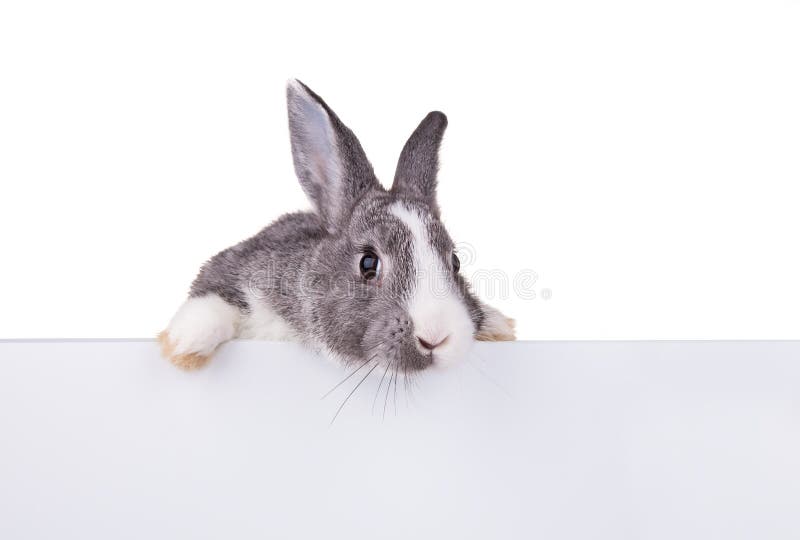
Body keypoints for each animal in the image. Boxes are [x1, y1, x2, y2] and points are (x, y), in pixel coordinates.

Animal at [158, 80, 515, 371]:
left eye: (455, 262)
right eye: (368, 263)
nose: (436, 338)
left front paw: (498, 325)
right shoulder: (232, 270)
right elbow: (214, 299)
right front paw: (182, 345)